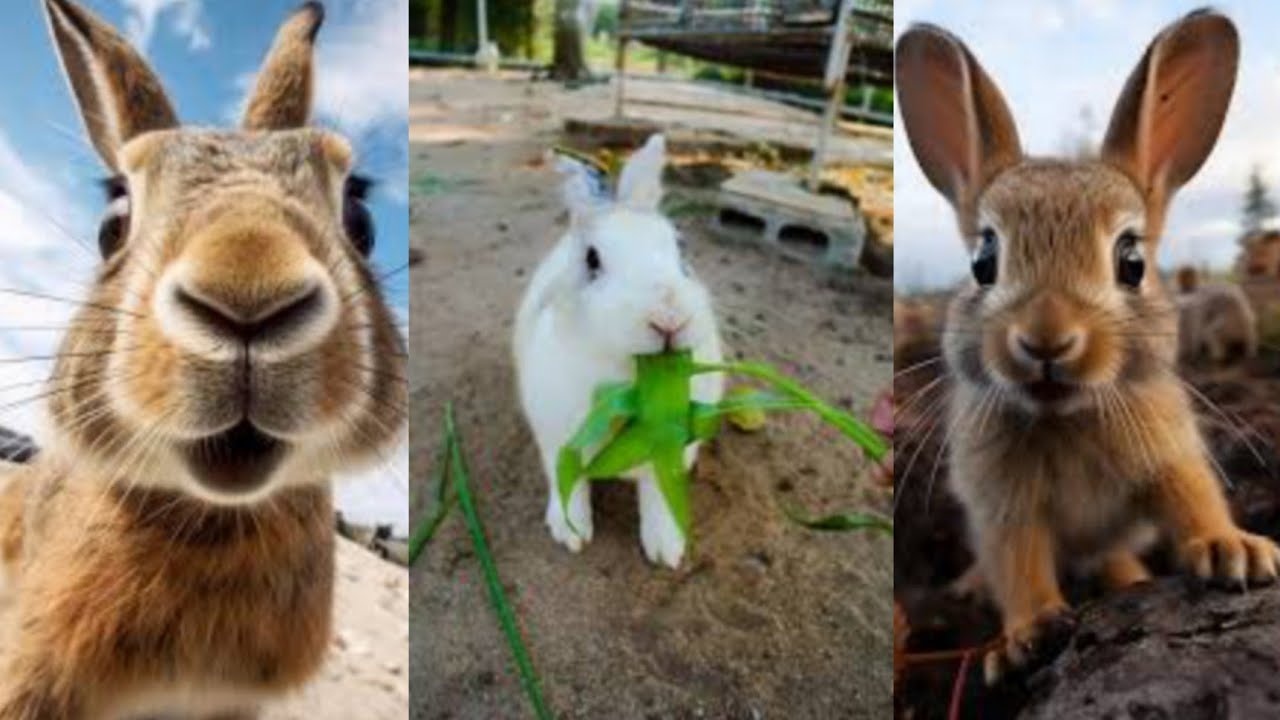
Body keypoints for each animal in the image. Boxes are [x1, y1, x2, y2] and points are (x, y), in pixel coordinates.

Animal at [514, 135, 724, 569]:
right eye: (592, 259)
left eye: (682, 249)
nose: (668, 319)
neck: (632, 380)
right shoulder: (558, 437)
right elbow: (567, 483)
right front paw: (571, 534)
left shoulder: (669, 452)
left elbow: (659, 495)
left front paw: (667, 551)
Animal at [896, 9, 1279, 685]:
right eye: (983, 260)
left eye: (1131, 261)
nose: (1046, 340)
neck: (1064, 417)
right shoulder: (1004, 506)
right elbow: (1018, 560)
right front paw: (1023, 638)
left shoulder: (1167, 456)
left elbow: (1192, 498)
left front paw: (1233, 550)